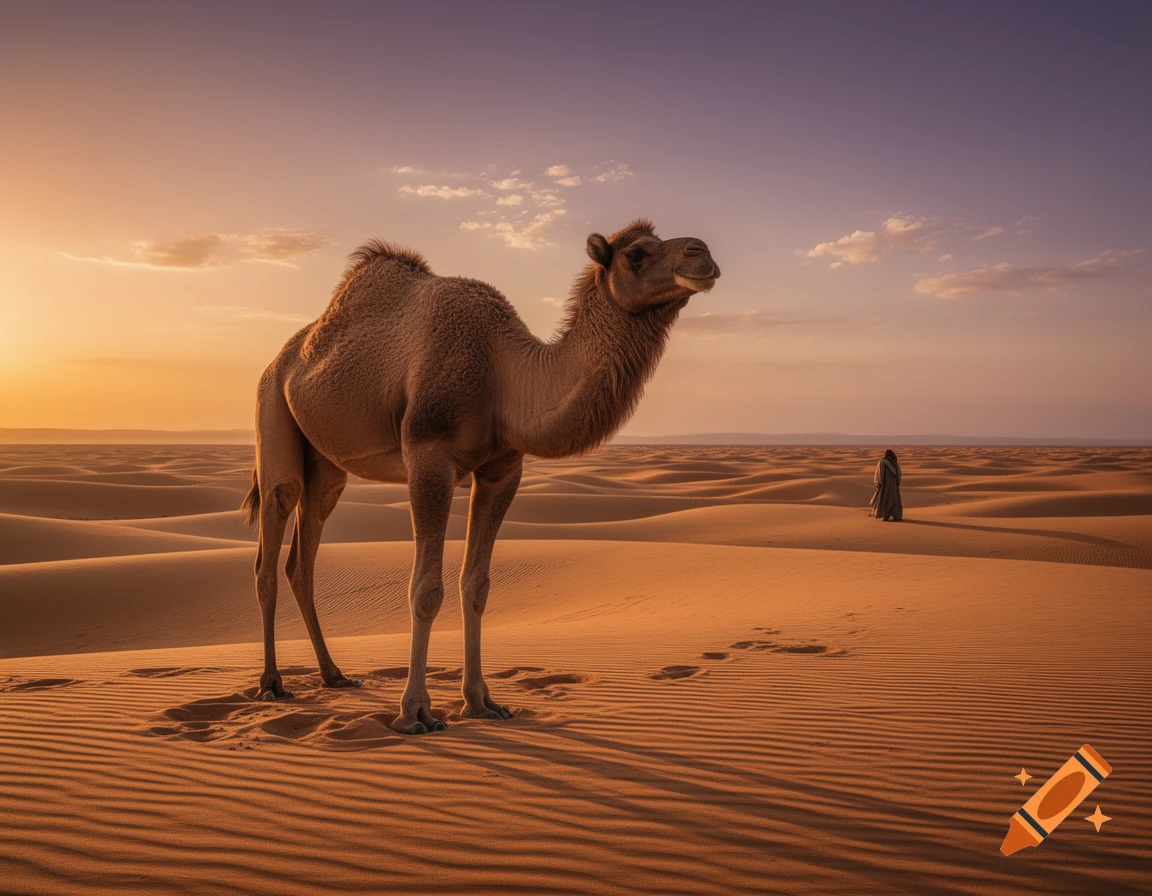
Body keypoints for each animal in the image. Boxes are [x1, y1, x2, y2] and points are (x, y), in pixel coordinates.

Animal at [240, 219, 720, 734]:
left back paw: (334, 674)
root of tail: (280, 359)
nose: (703, 254)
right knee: (271, 541)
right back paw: (271, 684)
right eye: (635, 254)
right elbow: (426, 590)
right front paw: (415, 712)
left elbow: (477, 586)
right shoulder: (428, 457)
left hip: (326, 465)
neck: (504, 374)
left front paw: (482, 702)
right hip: (271, 406)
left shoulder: (502, 470)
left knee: (302, 558)